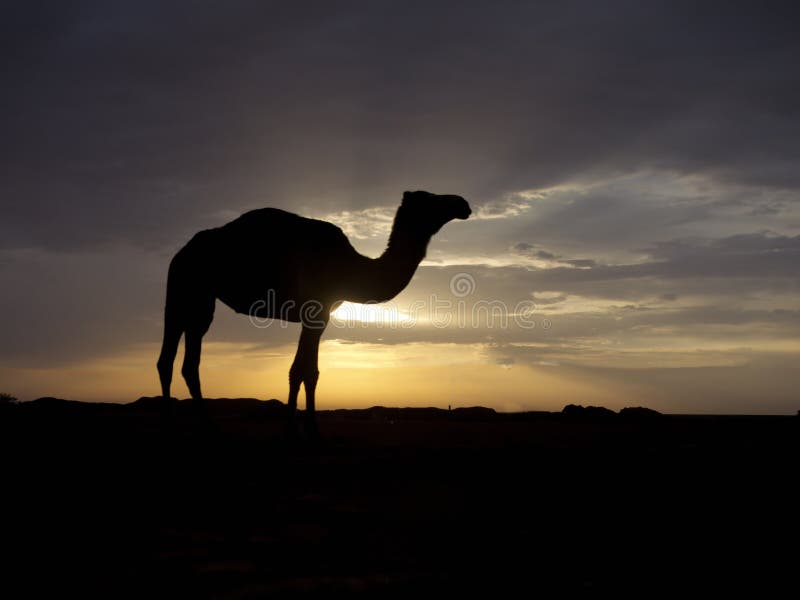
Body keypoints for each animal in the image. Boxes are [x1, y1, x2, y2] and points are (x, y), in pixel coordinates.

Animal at [157, 190, 471, 434]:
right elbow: (300, 371)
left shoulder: (322, 313)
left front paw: (306, 427)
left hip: (199, 299)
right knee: (170, 358)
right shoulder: (314, 309)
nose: (463, 204)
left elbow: (309, 371)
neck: (352, 268)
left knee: (186, 358)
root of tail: (181, 253)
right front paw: (297, 428)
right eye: (430, 199)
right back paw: (175, 426)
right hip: (184, 288)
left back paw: (202, 425)